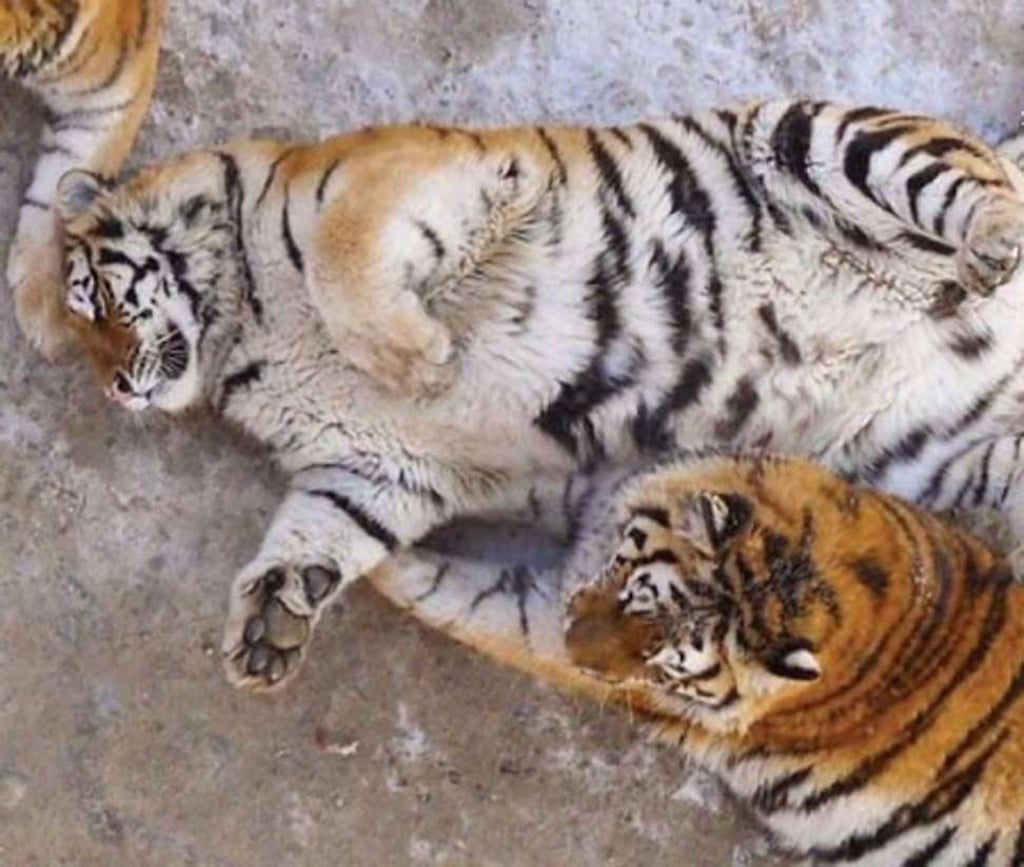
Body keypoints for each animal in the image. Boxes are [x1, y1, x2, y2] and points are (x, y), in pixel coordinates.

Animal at [53, 98, 1024, 695]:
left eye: (91, 301)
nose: (114, 387)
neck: (243, 336)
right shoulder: (373, 466)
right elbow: (315, 529)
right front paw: (267, 625)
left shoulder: (404, 181)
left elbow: (342, 255)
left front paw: (421, 361)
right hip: (949, 460)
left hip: (816, 136)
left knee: (981, 177)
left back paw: (990, 248)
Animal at [369, 452, 1024, 866]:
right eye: (626, 589)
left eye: (665, 663)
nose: (580, 652)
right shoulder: (602, 487)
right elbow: (506, 476)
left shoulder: (546, 627)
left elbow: (454, 596)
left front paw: (373, 562)